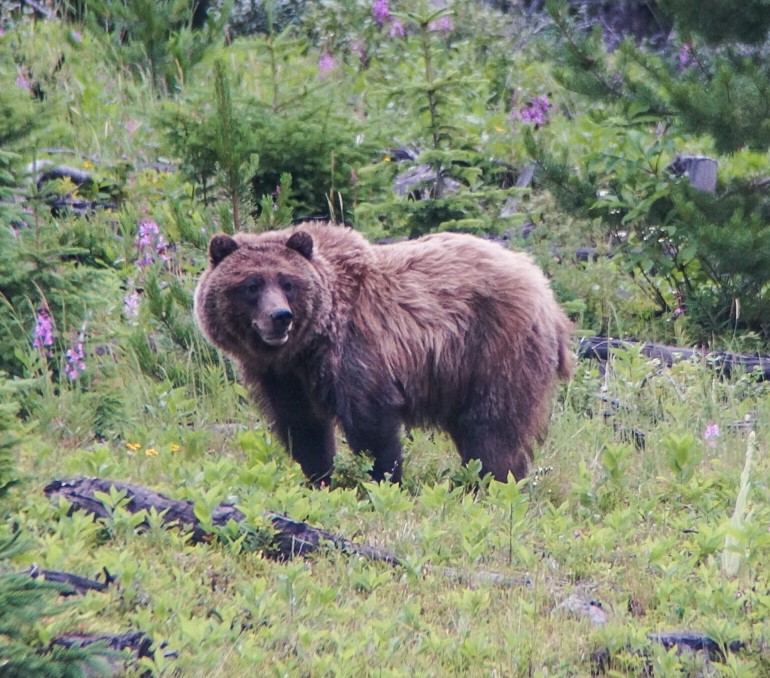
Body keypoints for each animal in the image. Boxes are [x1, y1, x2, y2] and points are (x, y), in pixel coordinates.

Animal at [194, 222, 573, 484]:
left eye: (287, 282)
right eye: (252, 284)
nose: (280, 316)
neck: (306, 347)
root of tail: (544, 287)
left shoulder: (355, 349)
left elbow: (370, 424)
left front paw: (381, 479)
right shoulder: (283, 378)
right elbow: (303, 427)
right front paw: (318, 478)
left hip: (494, 348)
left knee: (493, 425)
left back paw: (490, 480)